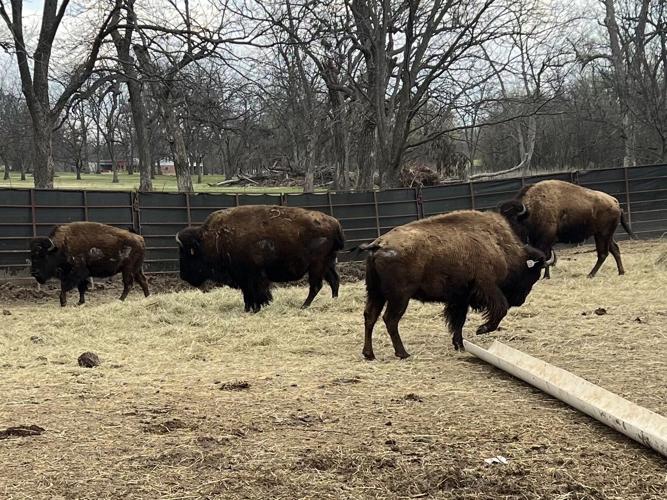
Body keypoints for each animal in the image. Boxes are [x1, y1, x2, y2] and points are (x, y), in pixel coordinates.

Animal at [175, 205, 344, 312]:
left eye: (187, 254)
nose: (183, 276)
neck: (213, 238)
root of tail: (334, 223)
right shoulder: (243, 277)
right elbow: (247, 294)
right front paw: (248, 309)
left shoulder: (253, 275)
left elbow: (256, 293)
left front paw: (257, 308)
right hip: (327, 263)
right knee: (334, 280)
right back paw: (333, 300)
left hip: (316, 265)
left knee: (316, 286)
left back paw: (304, 306)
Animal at [360, 210, 555, 358]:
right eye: (531, 276)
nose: (520, 301)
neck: (498, 245)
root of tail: (378, 244)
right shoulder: (487, 287)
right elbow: (500, 309)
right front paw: (481, 329)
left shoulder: (461, 298)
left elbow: (458, 322)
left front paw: (459, 345)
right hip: (399, 297)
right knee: (390, 320)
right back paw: (403, 353)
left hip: (376, 293)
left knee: (370, 317)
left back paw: (369, 354)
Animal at [499, 180, 637, 278]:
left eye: (513, 221)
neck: (531, 210)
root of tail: (615, 202)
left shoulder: (545, 240)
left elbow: (546, 256)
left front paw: (545, 276)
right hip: (606, 235)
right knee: (614, 250)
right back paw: (621, 272)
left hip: (602, 234)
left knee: (603, 253)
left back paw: (590, 275)